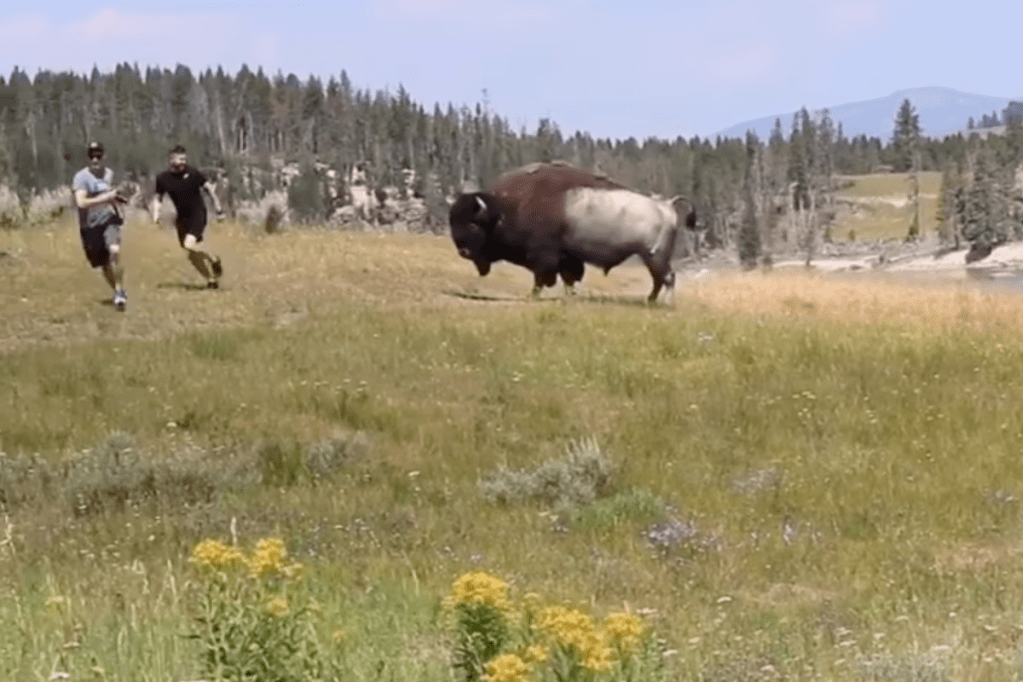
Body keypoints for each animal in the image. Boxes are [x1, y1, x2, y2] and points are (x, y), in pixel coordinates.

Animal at [449, 162, 695, 301]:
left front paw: (533, 296)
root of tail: (667, 204)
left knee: (667, 277)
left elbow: (542, 279)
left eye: (473, 224)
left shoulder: (544, 257)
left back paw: (663, 303)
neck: (505, 210)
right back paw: (650, 300)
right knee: (659, 279)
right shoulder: (569, 258)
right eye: (452, 222)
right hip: (650, 257)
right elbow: (570, 278)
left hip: (655, 255)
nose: (462, 251)